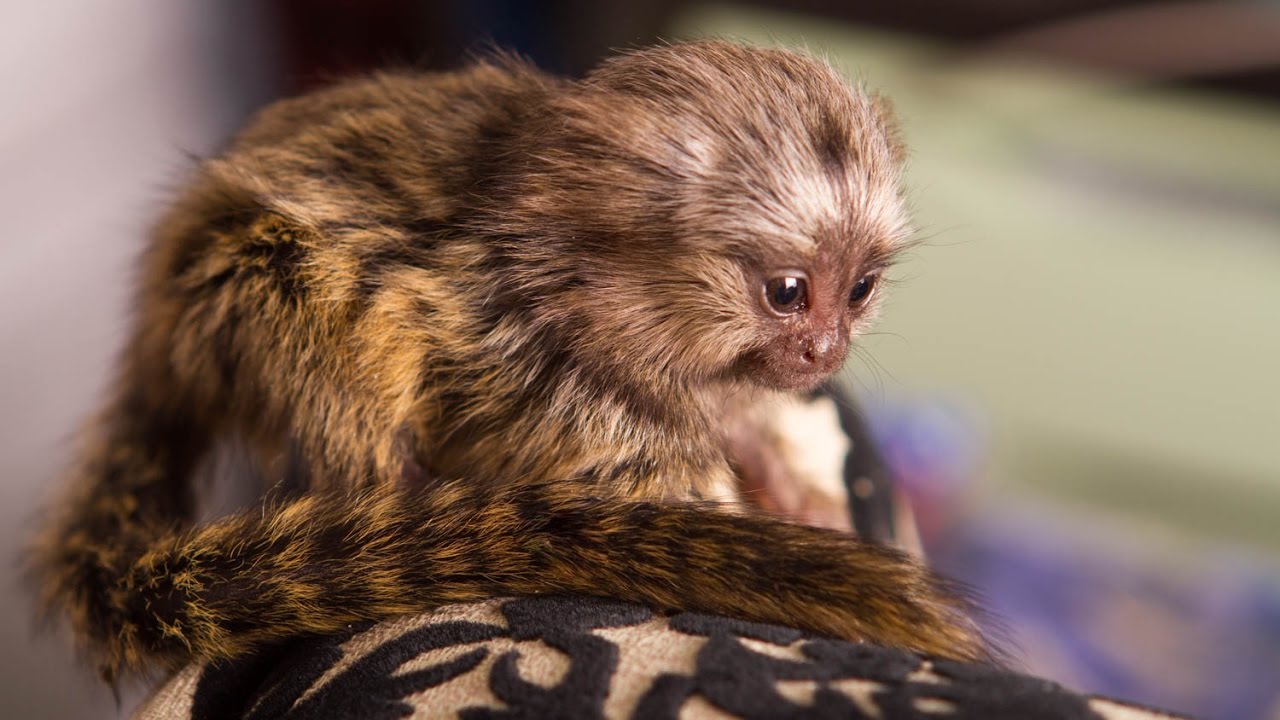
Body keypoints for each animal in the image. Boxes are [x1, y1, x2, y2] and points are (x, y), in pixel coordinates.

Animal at [31, 40, 993, 683]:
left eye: (859, 288)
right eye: (788, 293)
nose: (825, 348)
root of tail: (159, 334)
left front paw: (798, 485)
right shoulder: (515, 352)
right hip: (237, 297)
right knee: (312, 284)